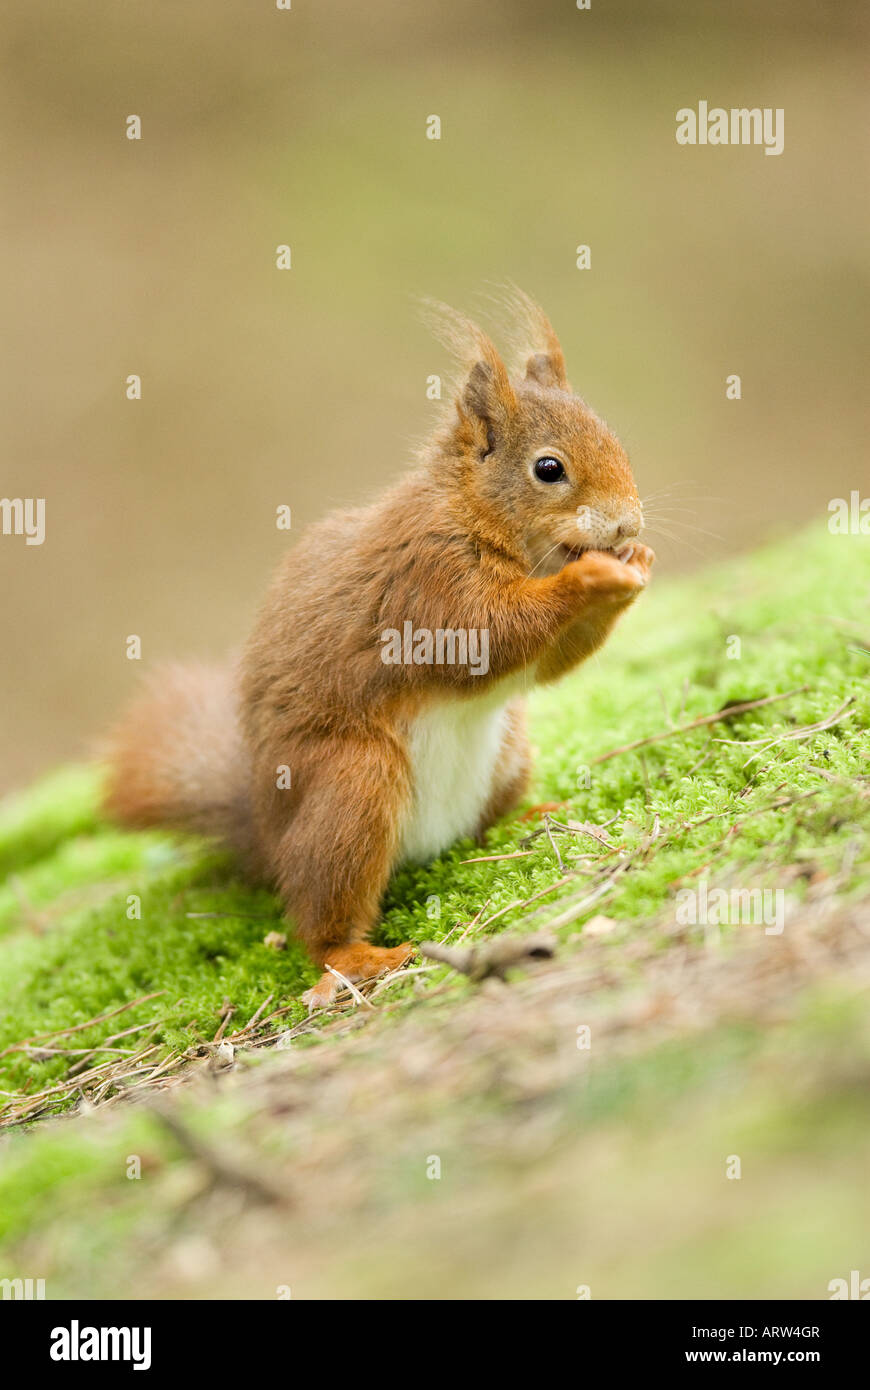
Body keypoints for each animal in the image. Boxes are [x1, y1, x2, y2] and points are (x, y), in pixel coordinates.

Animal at [103, 292, 654, 1010]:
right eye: (549, 469)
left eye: (612, 434)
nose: (628, 522)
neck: (475, 517)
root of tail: (269, 836)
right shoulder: (427, 584)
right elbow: (487, 634)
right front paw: (589, 577)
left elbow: (545, 662)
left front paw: (634, 566)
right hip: (353, 786)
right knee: (320, 919)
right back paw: (358, 957)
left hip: (508, 751)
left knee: (479, 825)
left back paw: (529, 815)